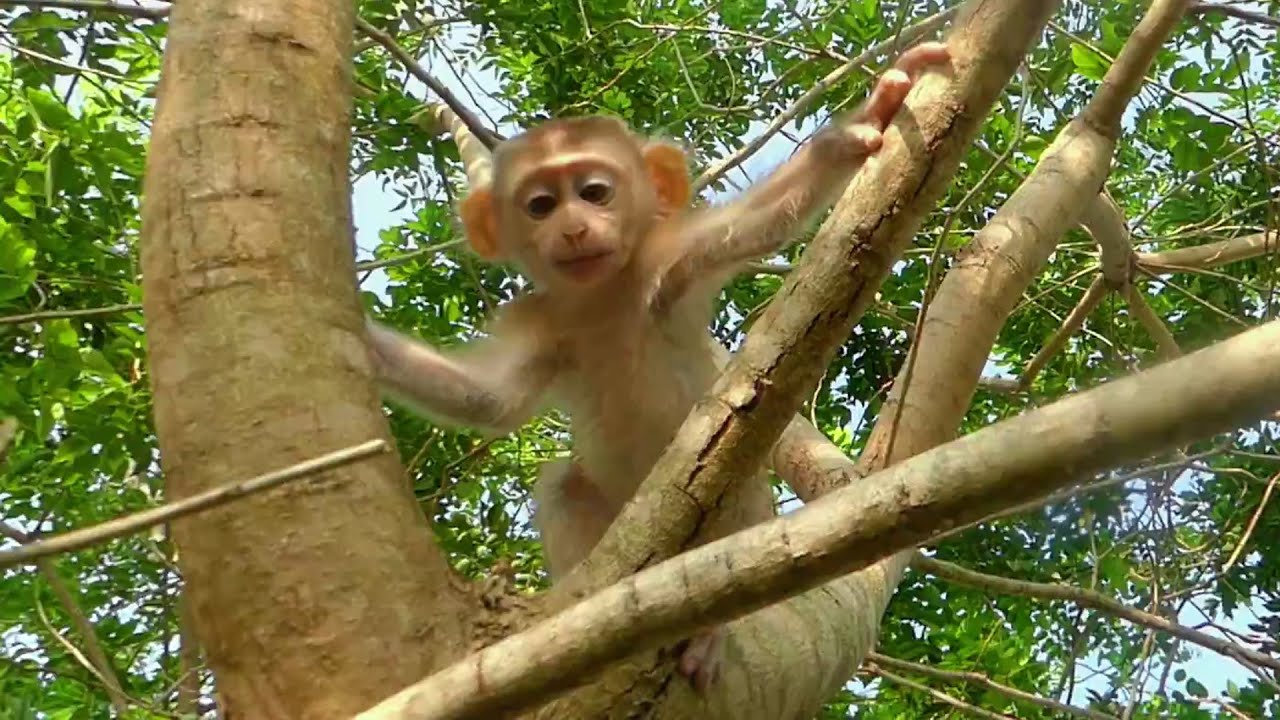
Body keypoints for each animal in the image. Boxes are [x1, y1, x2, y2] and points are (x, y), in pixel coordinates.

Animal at [365, 41, 951, 692]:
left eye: (595, 192)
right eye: (540, 205)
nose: (573, 228)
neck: (603, 296)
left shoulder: (668, 259)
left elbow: (758, 224)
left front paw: (866, 120)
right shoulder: (542, 322)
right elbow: (491, 400)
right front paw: (366, 342)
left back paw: (708, 628)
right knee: (564, 485)